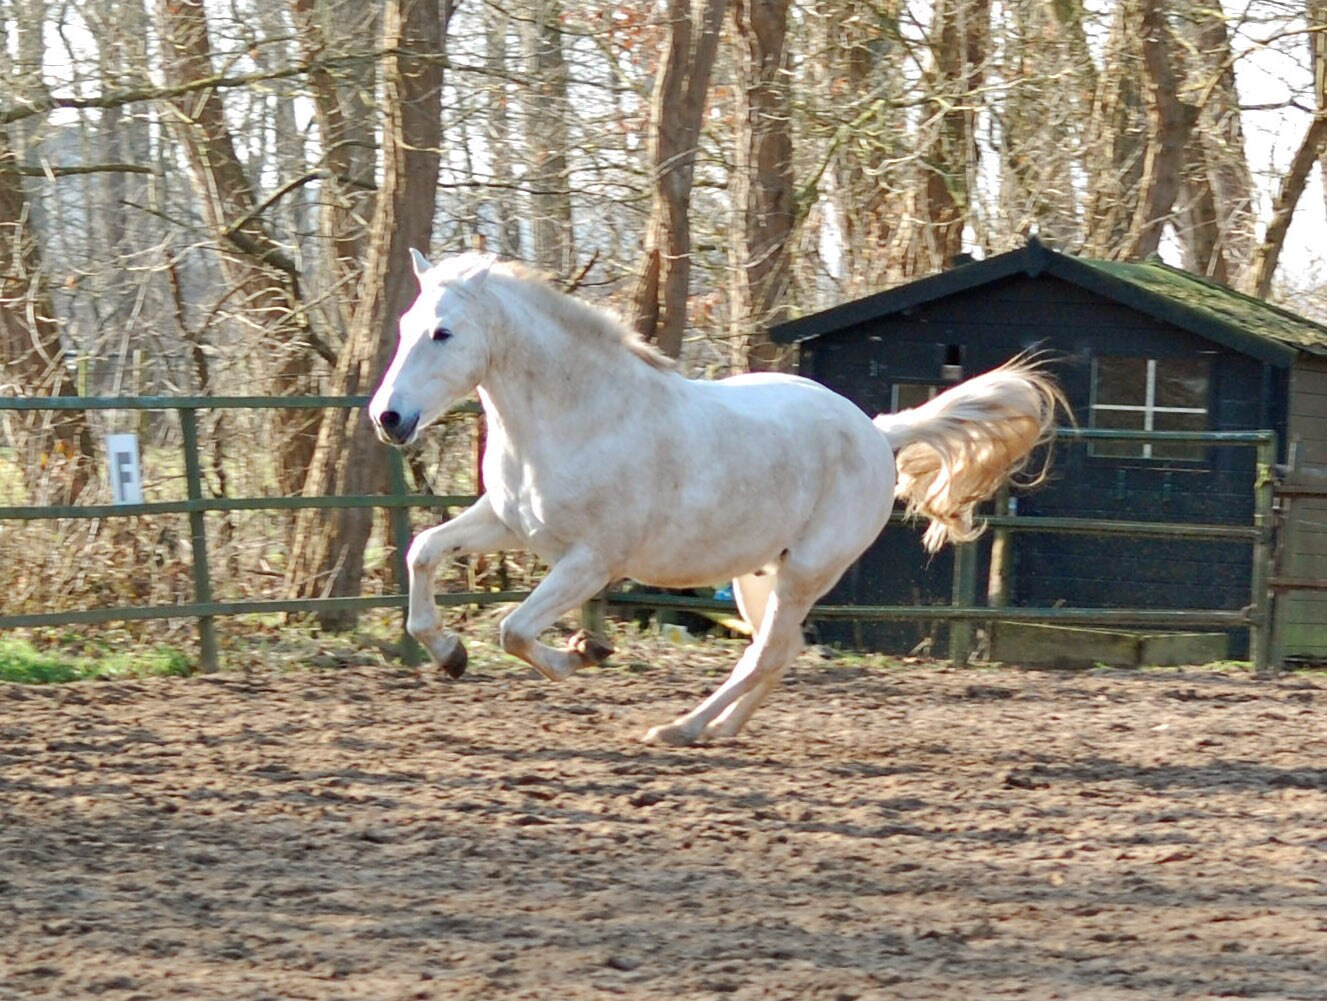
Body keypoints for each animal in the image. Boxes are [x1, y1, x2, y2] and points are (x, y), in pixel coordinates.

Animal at [369, 251, 1064, 746]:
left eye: (443, 333)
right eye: (405, 326)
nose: (389, 418)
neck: (580, 414)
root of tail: (876, 432)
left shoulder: (592, 561)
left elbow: (512, 628)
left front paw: (583, 654)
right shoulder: (508, 523)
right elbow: (423, 552)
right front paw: (450, 654)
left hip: (806, 571)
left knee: (767, 653)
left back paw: (681, 728)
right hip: (760, 574)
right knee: (777, 651)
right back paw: (720, 728)